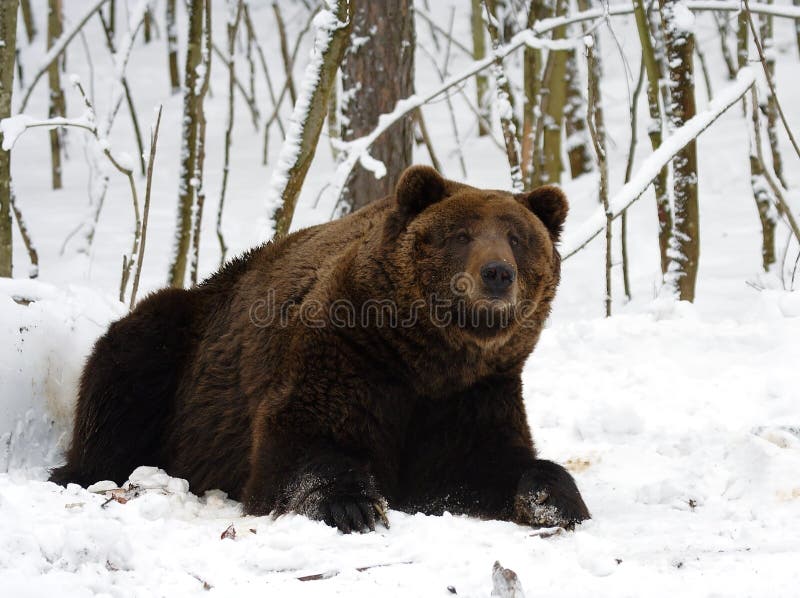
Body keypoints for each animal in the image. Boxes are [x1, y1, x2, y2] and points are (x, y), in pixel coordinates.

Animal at [50, 165, 590, 533]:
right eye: (461, 234)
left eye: (518, 238)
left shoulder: (474, 390)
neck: (424, 357)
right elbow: (302, 443)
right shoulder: (345, 354)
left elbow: (483, 461)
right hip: (175, 350)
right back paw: (84, 472)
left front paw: (556, 499)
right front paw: (351, 504)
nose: (497, 273)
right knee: (123, 378)